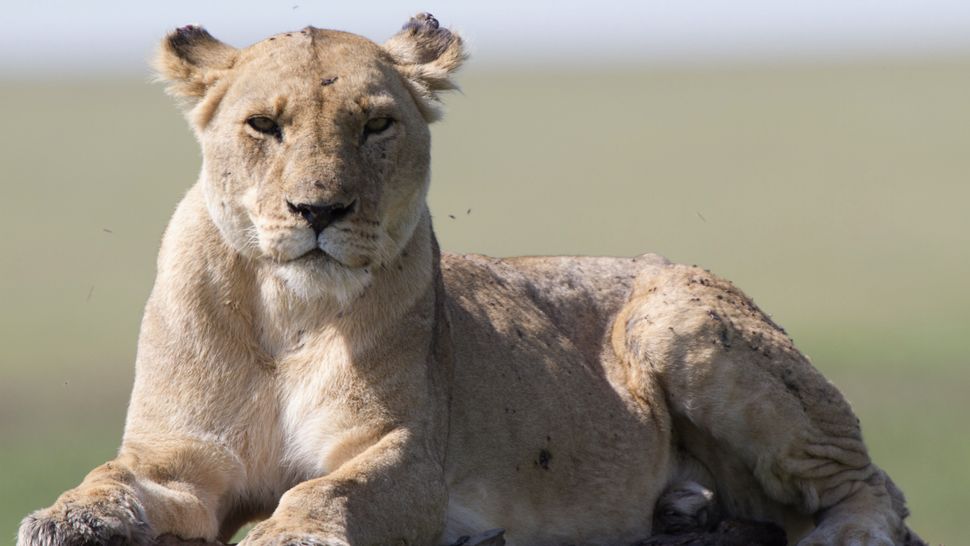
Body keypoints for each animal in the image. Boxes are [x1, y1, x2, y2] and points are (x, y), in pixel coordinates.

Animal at [19, 13, 924, 546]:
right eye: (264, 126)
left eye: (376, 125)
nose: (319, 210)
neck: (290, 312)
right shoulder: (178, 458)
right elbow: (112, 478)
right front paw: (65, 516)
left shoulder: (403, 453)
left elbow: (327, 494)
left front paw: (283, 532)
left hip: (681, 321)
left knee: (870, 483)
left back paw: (842, 533)